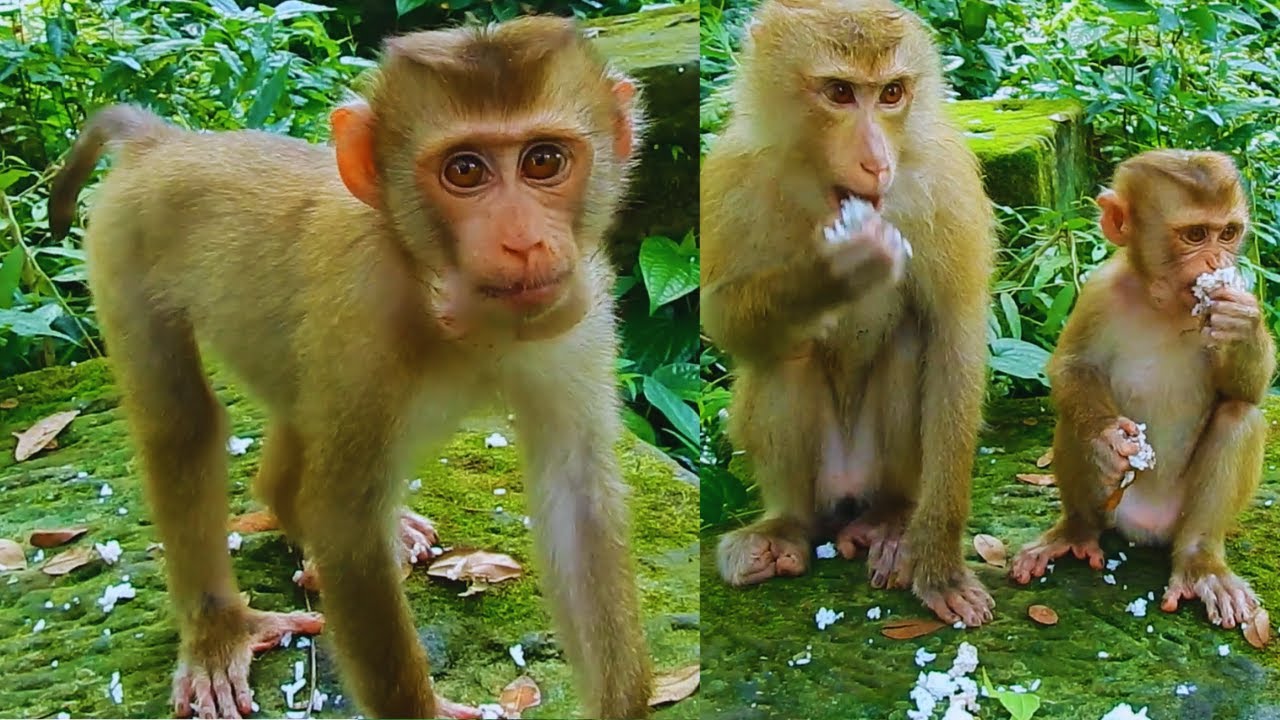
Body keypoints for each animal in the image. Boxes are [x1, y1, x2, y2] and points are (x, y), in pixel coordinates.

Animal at [49, 16, 654, 719]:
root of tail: (164, 142)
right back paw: (219, 631)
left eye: (544, 161)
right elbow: (345, 528)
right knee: (183, 421)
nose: (523, 242)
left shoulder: (578, 315)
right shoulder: (363, 315)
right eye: (464, 170)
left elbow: (576, 494)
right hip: (120, 241)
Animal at [700, 0, 998, 627]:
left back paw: (891, 522)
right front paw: (835, 271)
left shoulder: (949, 186)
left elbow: (953, 338)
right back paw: (787, 529)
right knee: (785, 355)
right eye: (839, 92)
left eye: (891, 93)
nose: (877, 162)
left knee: (911, 339)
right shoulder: (730, 176)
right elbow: (721, 317)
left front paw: (940, 567)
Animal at [1010, 149, 1275, 631]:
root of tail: (1144, 528)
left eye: (1228, 233)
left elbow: (1248, 391)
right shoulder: (1098, 290)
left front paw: (1242, 323)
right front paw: (1108, 441)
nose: (1216, 262)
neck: (1164, 301)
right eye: (1195, 235)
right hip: (1112, 505)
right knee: (1072, 420)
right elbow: (1073, 368)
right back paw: (1076, 531)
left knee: (1239, 416)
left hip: (1178, 520)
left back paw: (1201, 565)